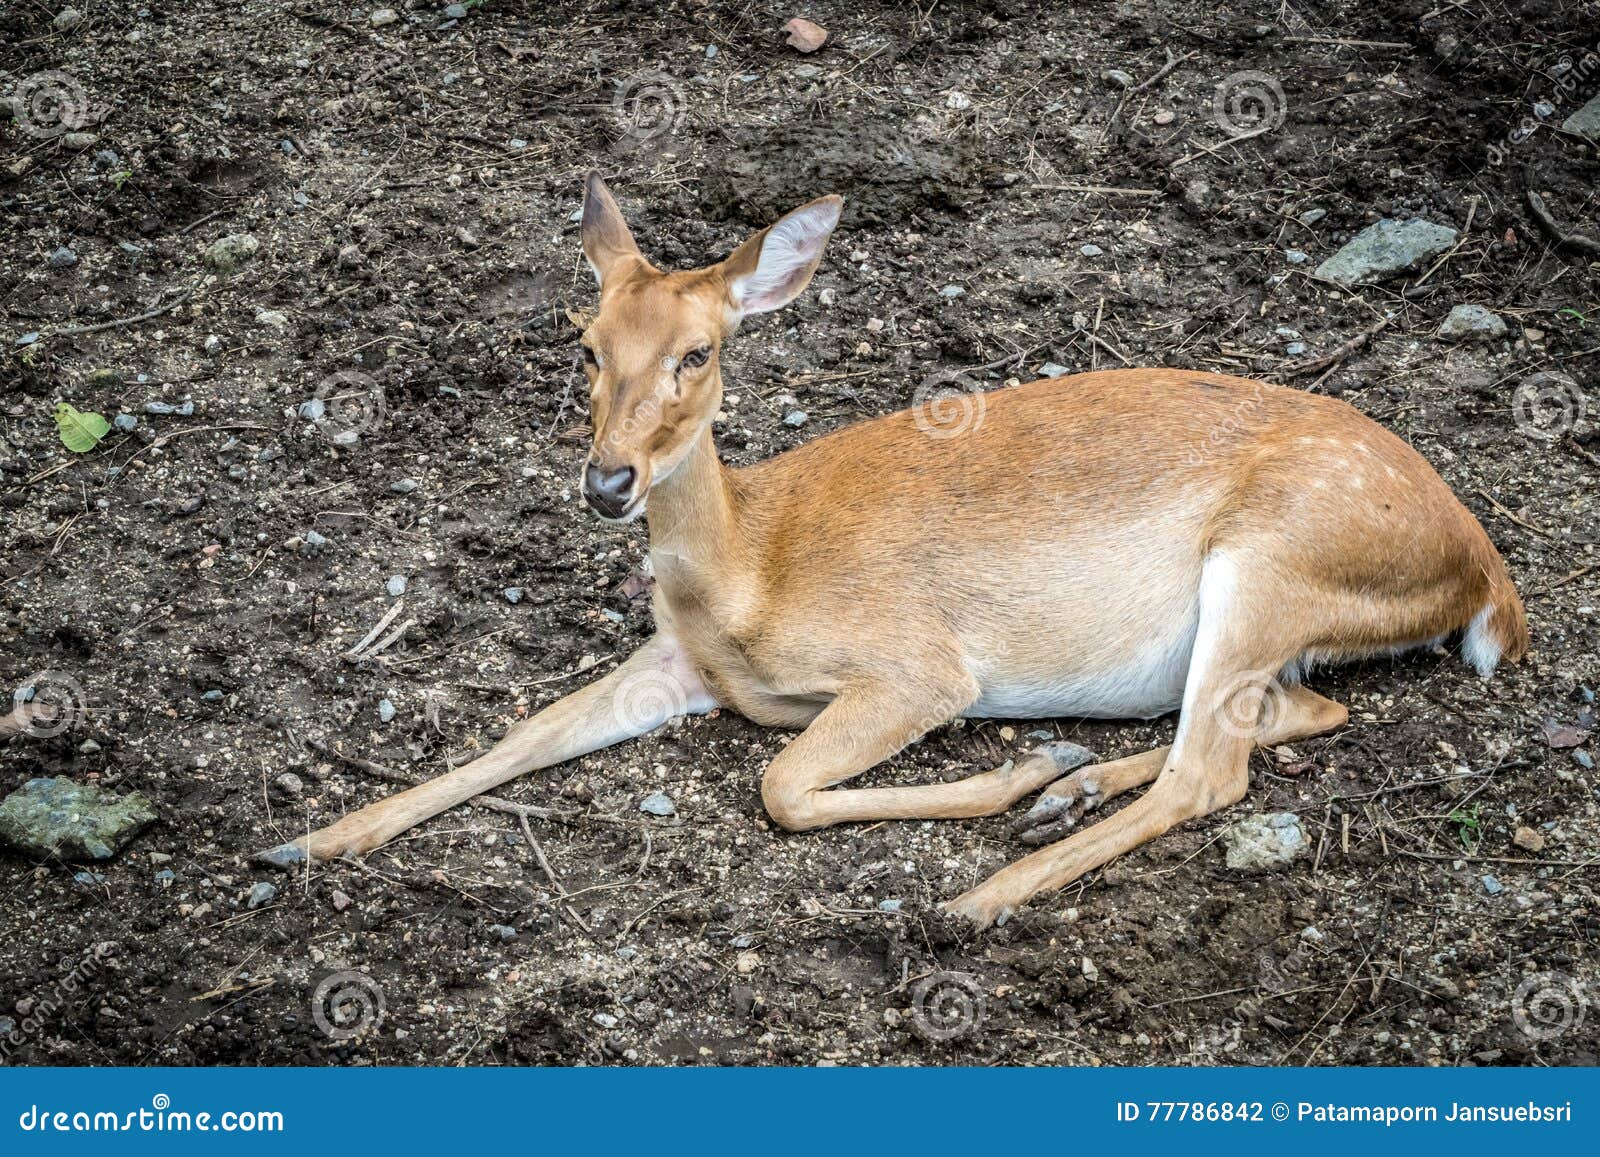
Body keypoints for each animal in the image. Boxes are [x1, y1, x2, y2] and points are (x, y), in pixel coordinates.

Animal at [258, 172, 1528, 928]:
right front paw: (307, 839)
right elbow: (520, 734)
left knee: (1210, 769)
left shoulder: (916, 661)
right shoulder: (679, 661)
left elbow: (780, 783)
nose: (608, 481)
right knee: (1294, 713)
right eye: (584, 343)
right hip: (1284, 620)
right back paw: (1066, 782)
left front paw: (1012, 776)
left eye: (699, 352)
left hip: (1270, 558)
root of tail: (1483, 570)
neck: (749, 574)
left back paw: (986, 886)